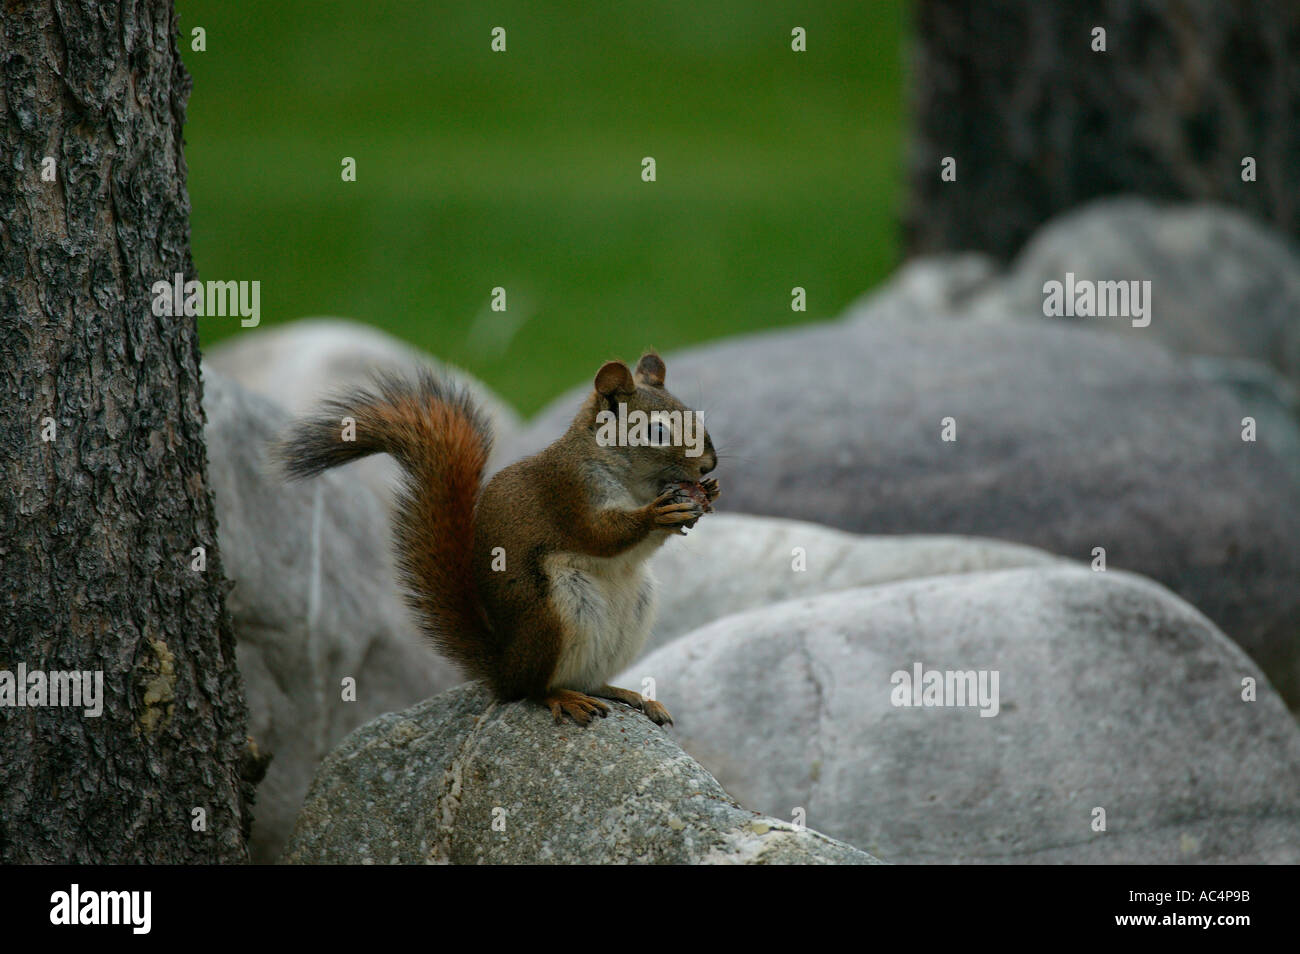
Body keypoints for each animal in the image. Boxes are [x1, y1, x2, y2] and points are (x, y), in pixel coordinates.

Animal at [276, 352, 718, 727]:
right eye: (656, 431)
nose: (709, 465)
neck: (632, 482)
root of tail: (504, 667)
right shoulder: (568, 493)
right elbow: (600, 536)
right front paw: (657, 514)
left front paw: (707, 495)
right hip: (551, 616)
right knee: (531, 689)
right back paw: (561, 698)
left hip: (632, 613)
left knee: (588, 680)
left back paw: (630, 695)